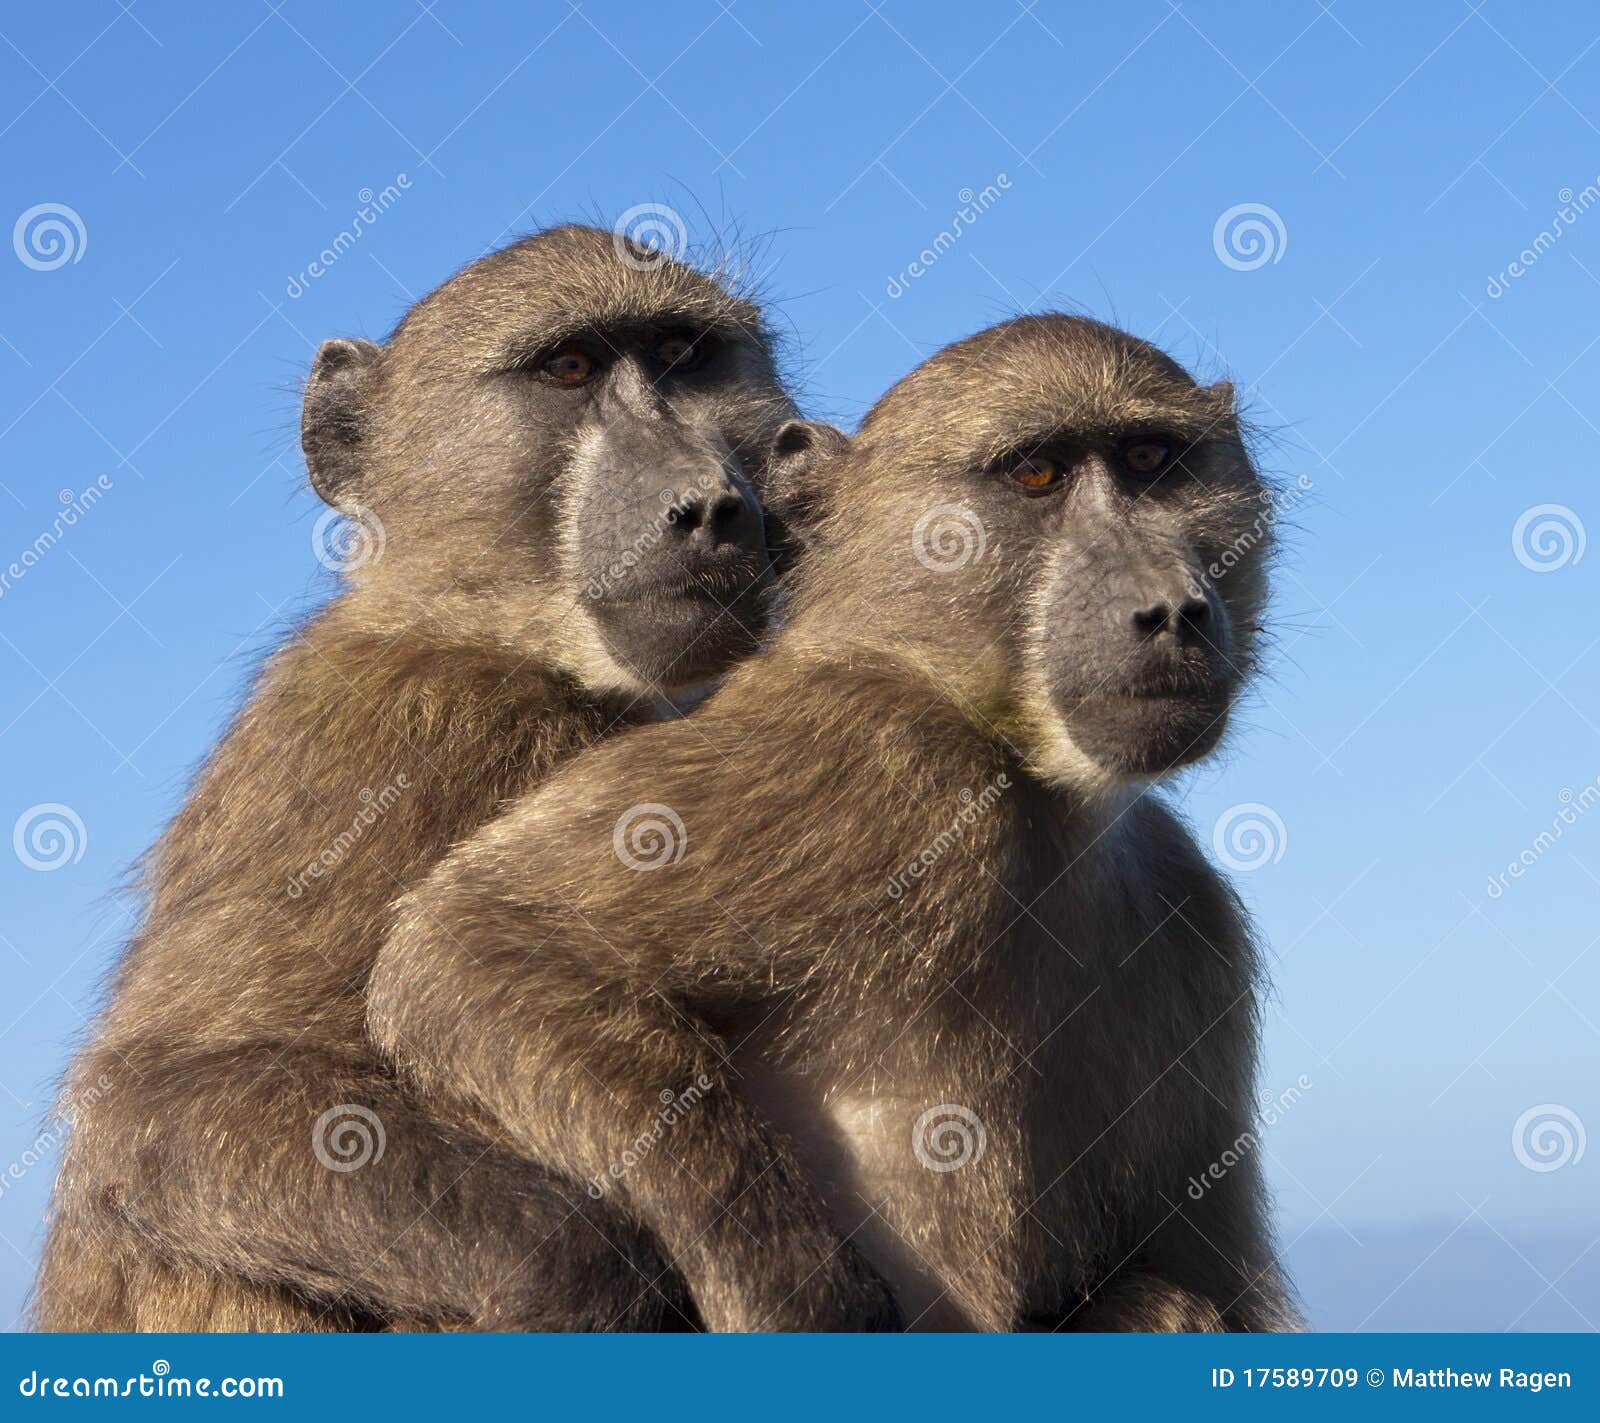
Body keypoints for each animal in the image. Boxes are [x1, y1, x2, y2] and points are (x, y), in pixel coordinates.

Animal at [33, 223, 822, 1333]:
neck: (488, 626)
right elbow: (156, 1099)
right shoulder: (414, 742)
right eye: (568, 370)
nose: (705, 506)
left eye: (682, 354)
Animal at [367, 313, 1302, 1333]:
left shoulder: (1194, 921)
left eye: (1149, 460)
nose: (1171, 608)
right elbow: (478, 942)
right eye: (1037, 476)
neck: (1036, 778)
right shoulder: (880, 764)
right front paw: (797, 1286)